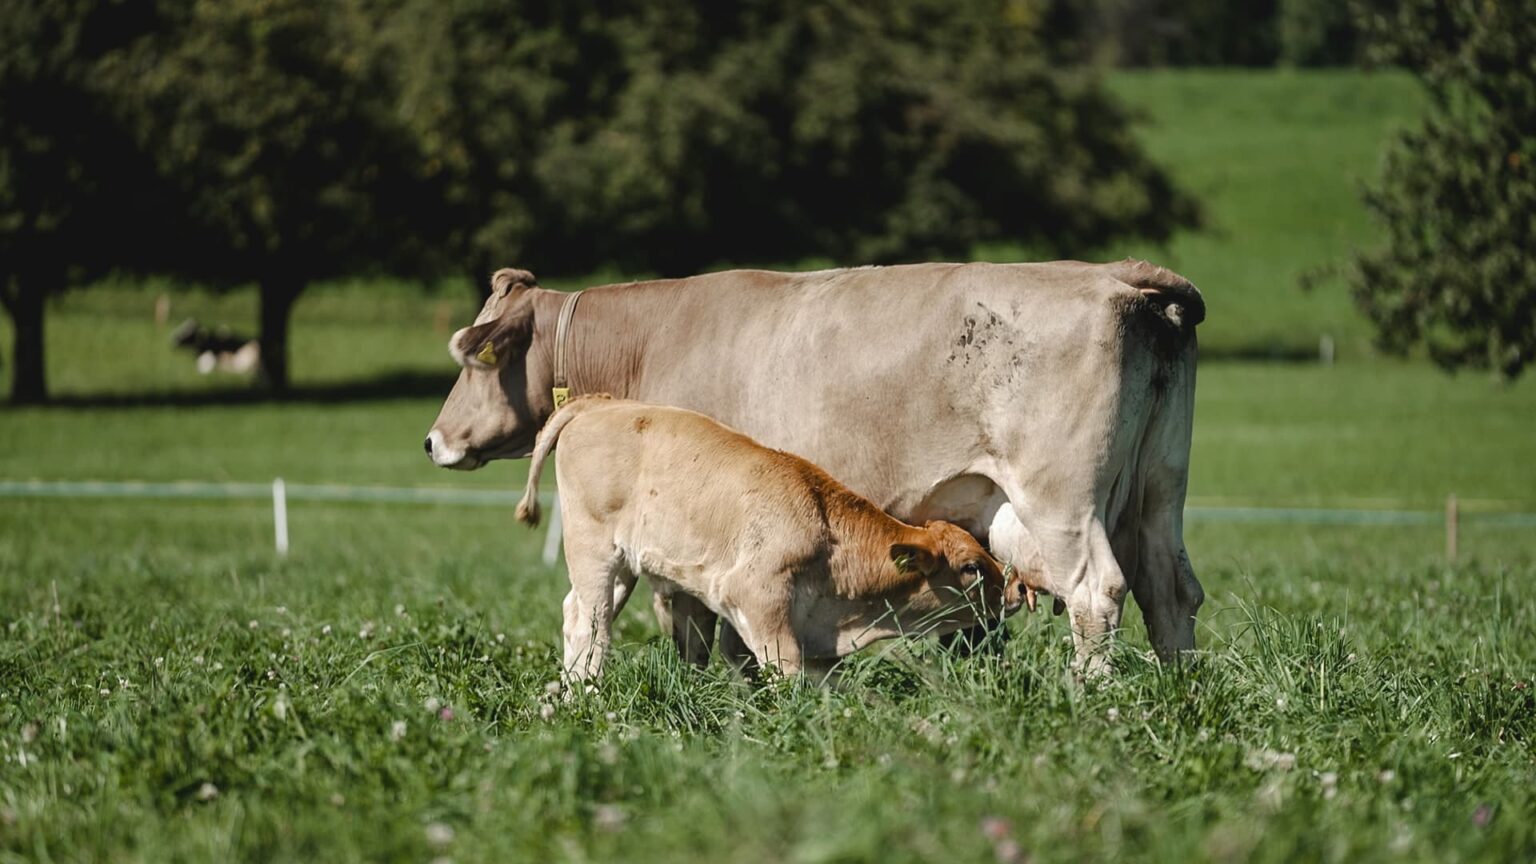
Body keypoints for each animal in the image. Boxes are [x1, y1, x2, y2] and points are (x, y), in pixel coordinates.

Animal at [512, 395, 1031, 682]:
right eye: (970, 567)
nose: (1016, 590)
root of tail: (600, 404)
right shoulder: (758, 600)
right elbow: (787, 677)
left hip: (622, 565)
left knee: (575, 615)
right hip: (593, 551)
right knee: (591, 627)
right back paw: (587, 696)